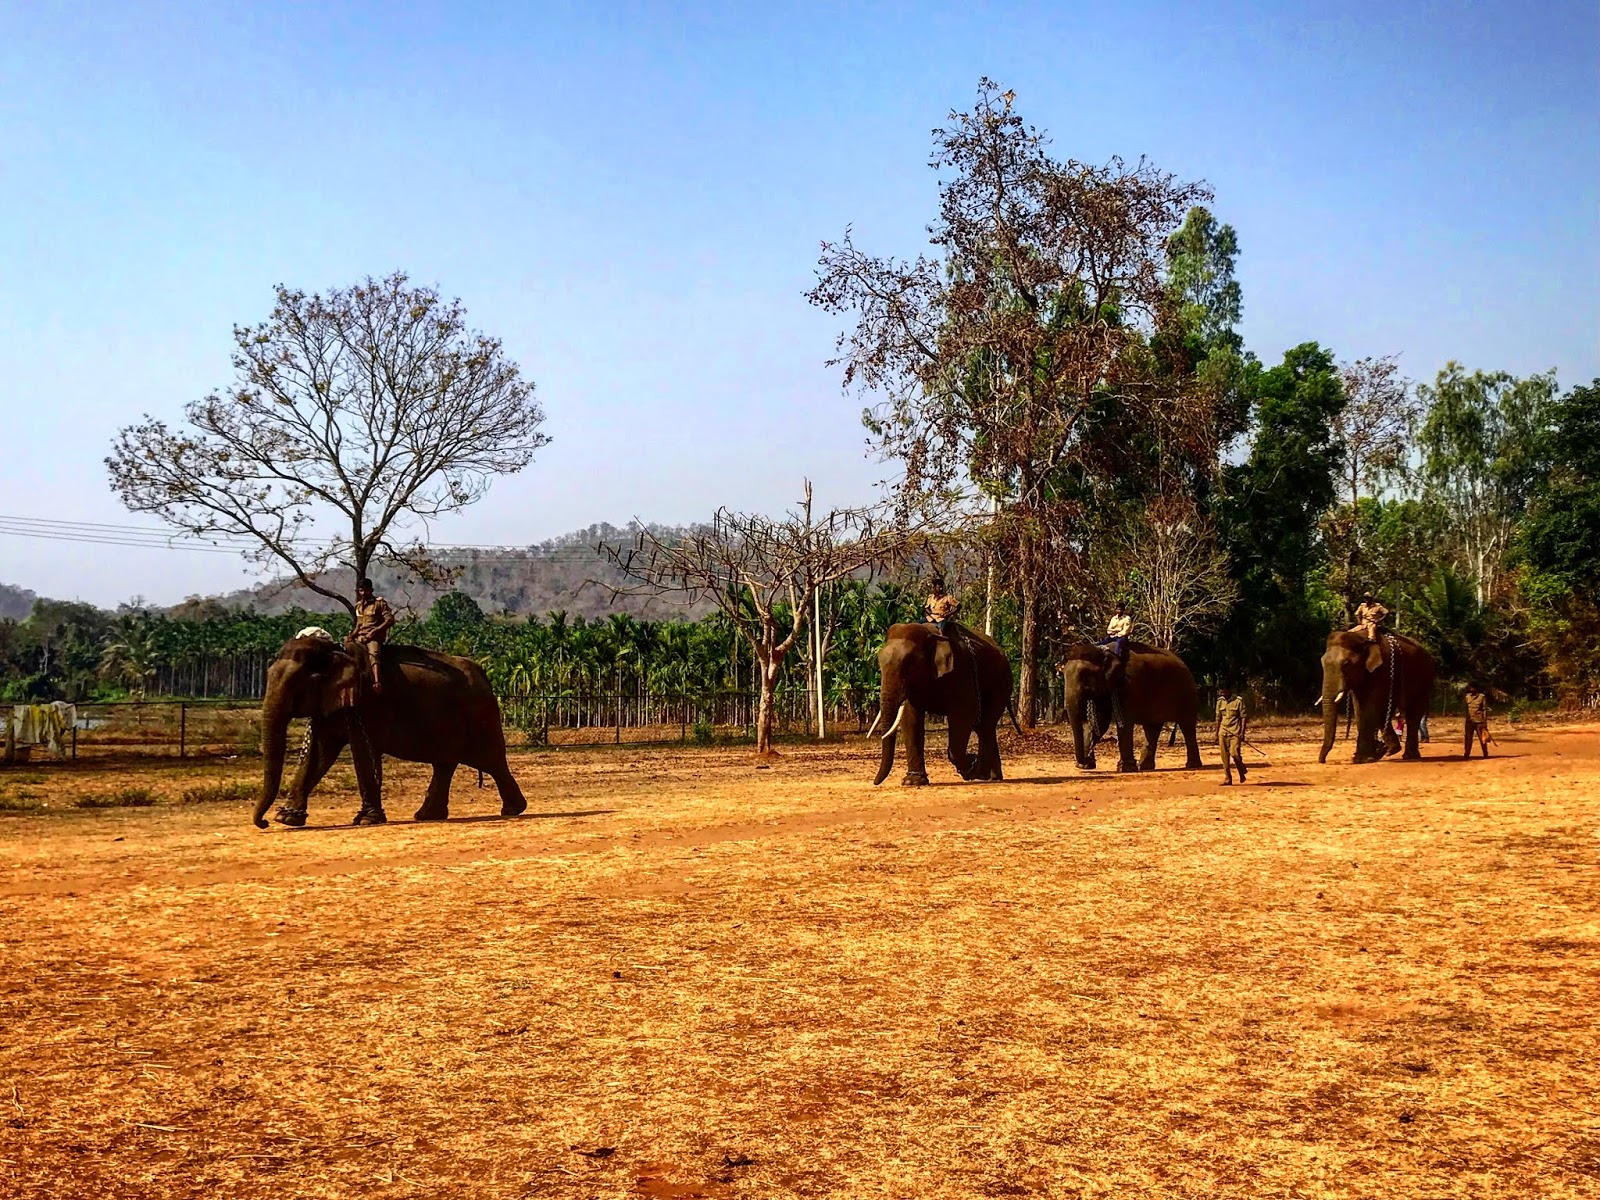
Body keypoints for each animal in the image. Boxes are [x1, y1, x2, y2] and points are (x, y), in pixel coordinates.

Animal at [252, 634, 527, 828]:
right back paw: (427, 816)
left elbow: (362, 749)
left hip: (481, 715)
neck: (335, 651)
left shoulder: (367, 702)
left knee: (492, 761)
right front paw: (287, 819)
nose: (263, 822)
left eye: (297, 685)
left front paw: (366, 820)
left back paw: (513, 810)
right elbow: (320, 752)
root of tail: (484, 673)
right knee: (446, 764)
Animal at [871, 622, 1016, 787]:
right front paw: (912, 781)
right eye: (879, 662)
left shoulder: (961, 670)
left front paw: (970, 767)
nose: (875, 782)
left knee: (986, 725)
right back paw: (990, 776)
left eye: (908, 664)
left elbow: (964, 713)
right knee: (984, 728)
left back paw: (984, 774)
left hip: (1001, 683)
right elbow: (910, 718)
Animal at [1058, 641, 1203, 772]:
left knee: (1187, 726)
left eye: (1085, 677)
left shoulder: (1130, 683)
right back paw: (1145, 767)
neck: (1106, 652)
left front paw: (1125, 769)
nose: (1086, 759)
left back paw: (1192, 765)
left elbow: (1124, 722)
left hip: (1188, 694)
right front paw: (1085, 766)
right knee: (1152, 728)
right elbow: (1101, 721)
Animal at [1319, 630, 1435, 763]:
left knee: (1413, 716)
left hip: (1424, 680)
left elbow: (1369, 706)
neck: (1362, 638)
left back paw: (1409, 756)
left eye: (1346, 664)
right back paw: (1390, 750)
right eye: (1322, 662)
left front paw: (1360, 759)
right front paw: (1373, 755)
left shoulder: (1381, 670)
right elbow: (1359, 708)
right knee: (1385, 714)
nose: (1323, 760)